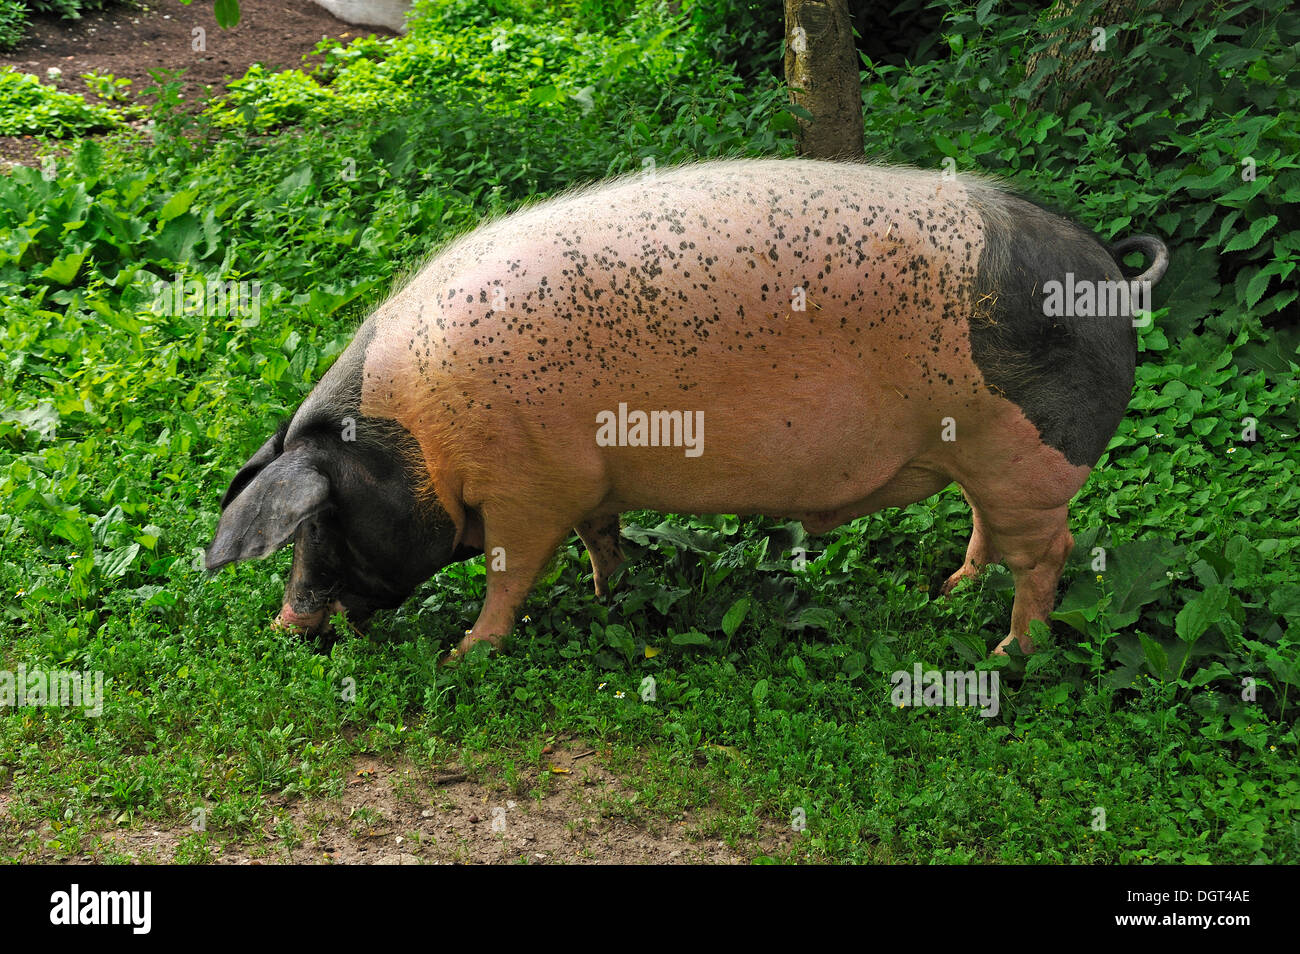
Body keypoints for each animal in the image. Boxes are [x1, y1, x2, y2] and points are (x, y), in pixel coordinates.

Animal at [205, 159, 1168, 656]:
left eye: (321, 523)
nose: (285, 623)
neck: (419, 438)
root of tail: (1116, 281)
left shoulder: (529, 488)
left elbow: (510, 573)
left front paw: (468, 651)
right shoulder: (585, 481)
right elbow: (603, 537)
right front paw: (610, 599)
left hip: (1028, 456)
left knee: (1050, 553)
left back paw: (1011, 652)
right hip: (980, 455)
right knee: (987, 531)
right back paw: (947, 592)